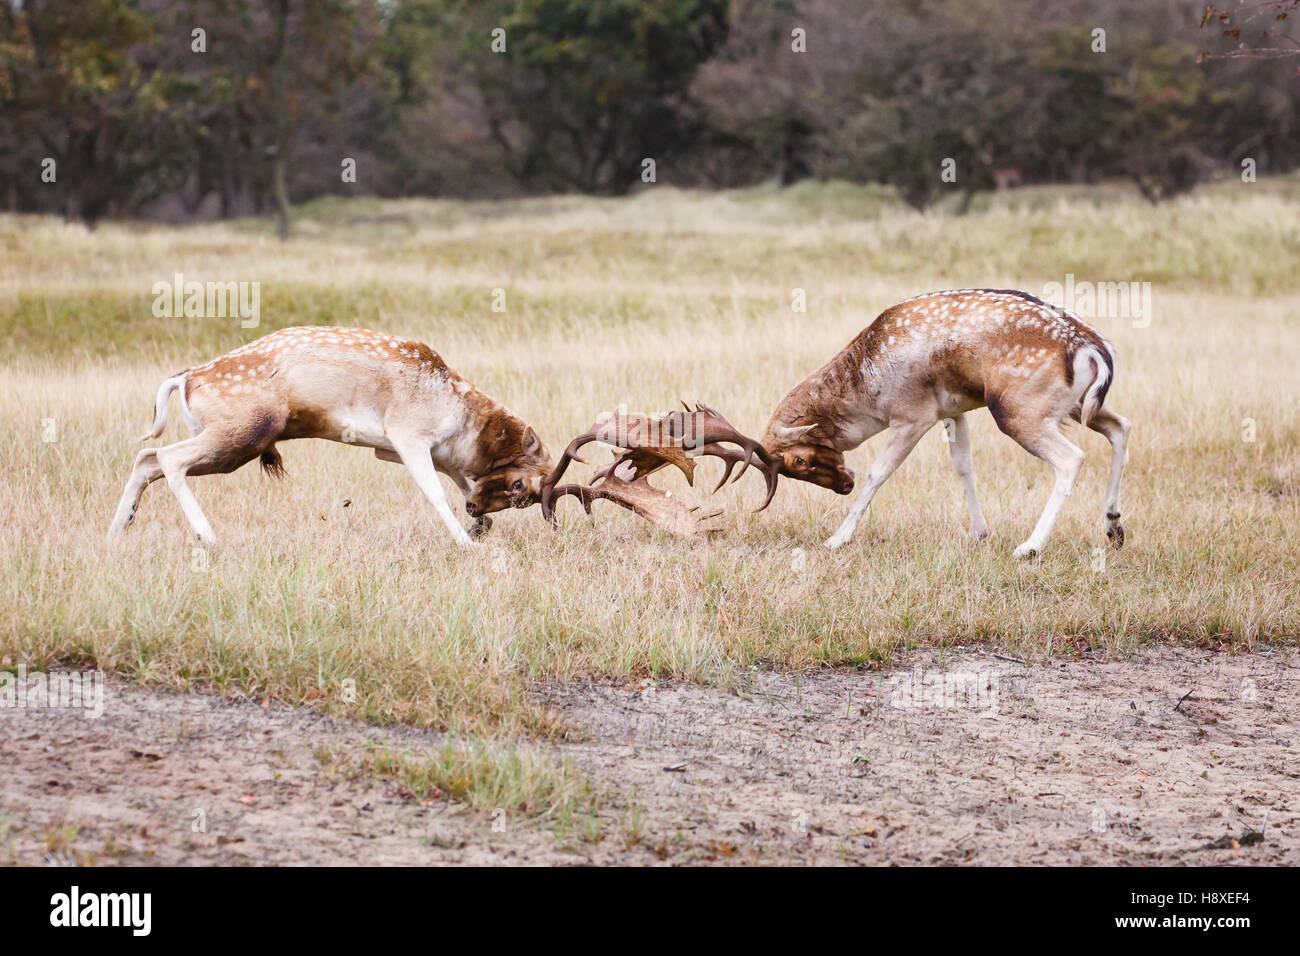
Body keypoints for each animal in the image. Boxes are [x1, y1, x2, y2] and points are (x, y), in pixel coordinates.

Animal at [106, 326, 555, 548]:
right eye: (520, 485)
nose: (478, 511)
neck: (460, 421)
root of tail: (184, 379)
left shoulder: (390, 450)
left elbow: (459, 480)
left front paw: (479, 527)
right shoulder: (407, 432)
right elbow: (435, 490)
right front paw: (469, 544)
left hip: (231, 440)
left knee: (147, 456)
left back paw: (116, 533)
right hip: (244, 431)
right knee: (167, 457)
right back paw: (207, 537)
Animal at [729, 289, 1132, 559]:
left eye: (799, 461)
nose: (844, 485)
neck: (868, 386)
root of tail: (1095, 348)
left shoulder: (913, 414)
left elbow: (879, 472)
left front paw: (836, 539)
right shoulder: (953, 411)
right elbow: (963, 465)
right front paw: (979, 534)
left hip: (1018, 409)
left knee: (1072, 457)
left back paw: (1030, 547)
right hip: (1078, 407)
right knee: (1122, 427)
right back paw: (1113, 526)